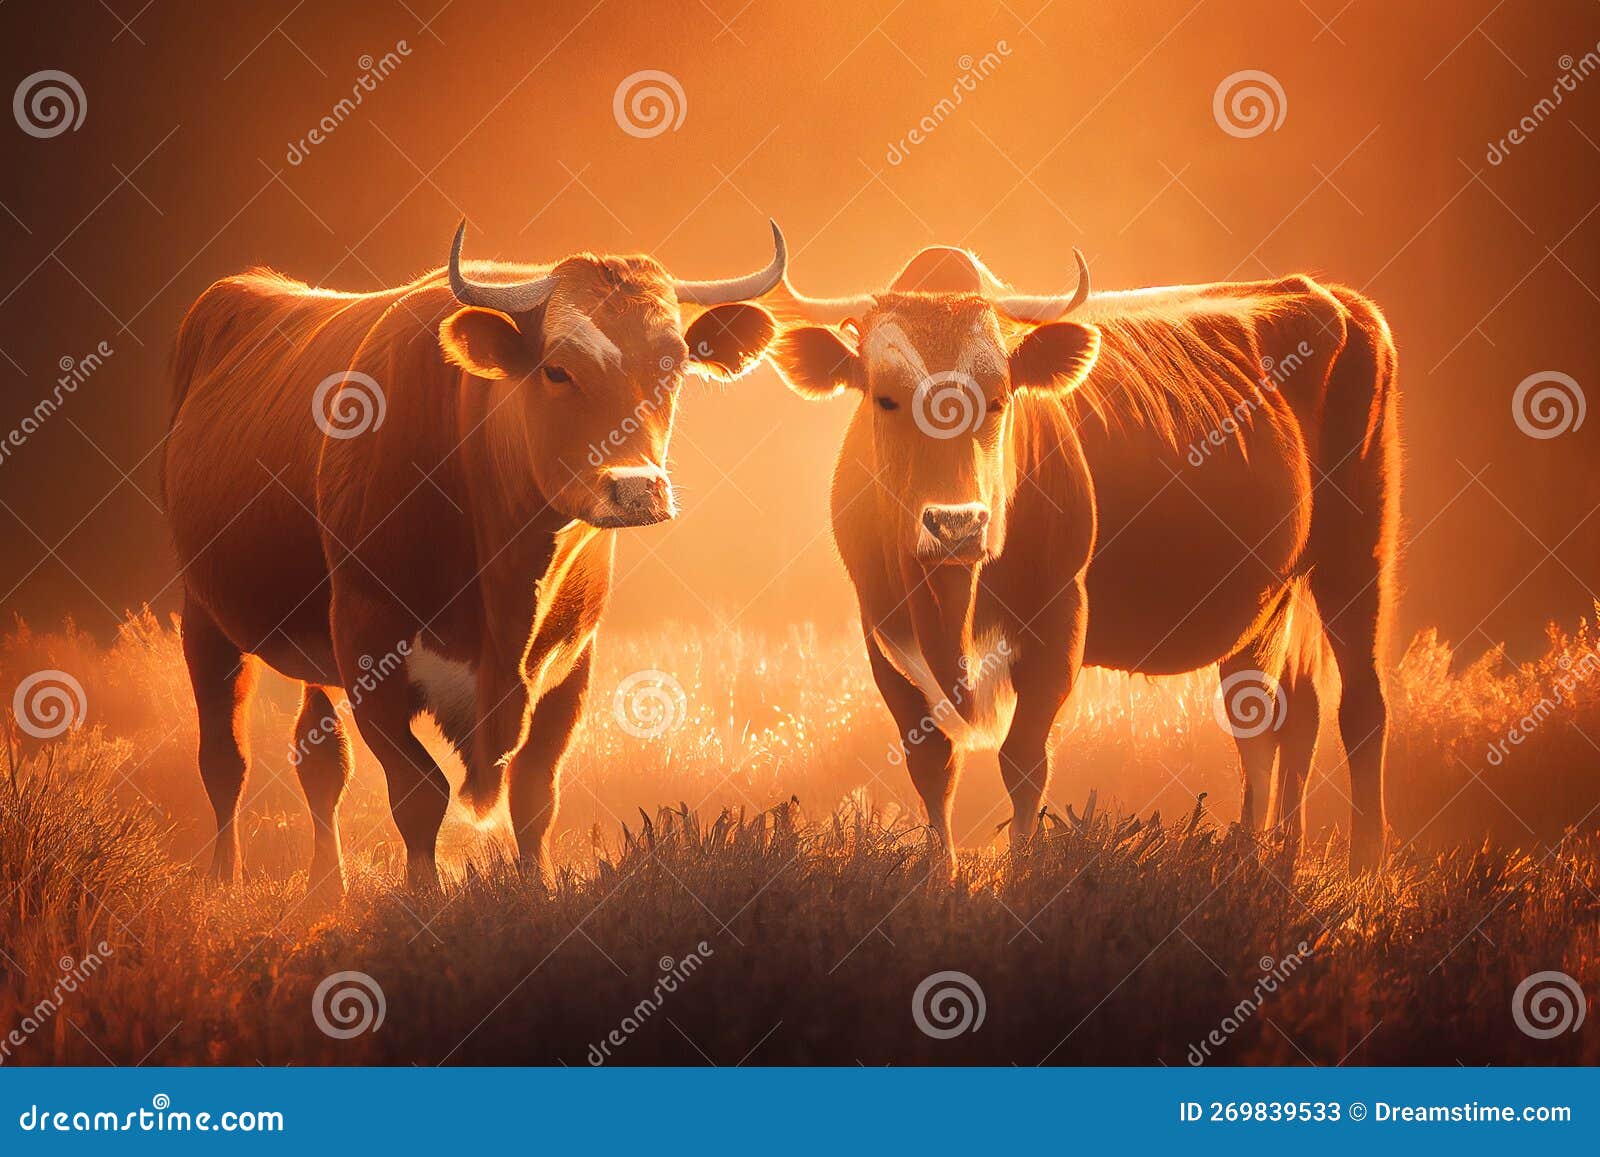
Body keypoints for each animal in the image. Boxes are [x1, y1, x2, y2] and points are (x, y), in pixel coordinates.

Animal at [164, 221, 787, 891]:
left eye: (673, 370)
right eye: (557, 371)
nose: (638, 488)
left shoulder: (573, 661)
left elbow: (537, 794)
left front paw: (538, 889)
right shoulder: (366, 645)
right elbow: (419, 793)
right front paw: (424, 899)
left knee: (320, 761)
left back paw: (326, 891)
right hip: (203, 612)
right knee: (225, 758)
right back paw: (224, 880)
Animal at [767, 246, 1398, 874]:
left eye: (999, 399)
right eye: (885, 398)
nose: (957, 523)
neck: (952, 608)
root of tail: (1332, 295)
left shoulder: (1060, 618)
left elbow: (1024, 761)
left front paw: (1021, 873)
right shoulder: (881, 632)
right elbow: (932, 764)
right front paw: (940, 879)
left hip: (1357, 550)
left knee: (1359, 706)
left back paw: (1365, 864)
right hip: (1273, 595)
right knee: (1279, 715)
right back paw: (1267, 857)